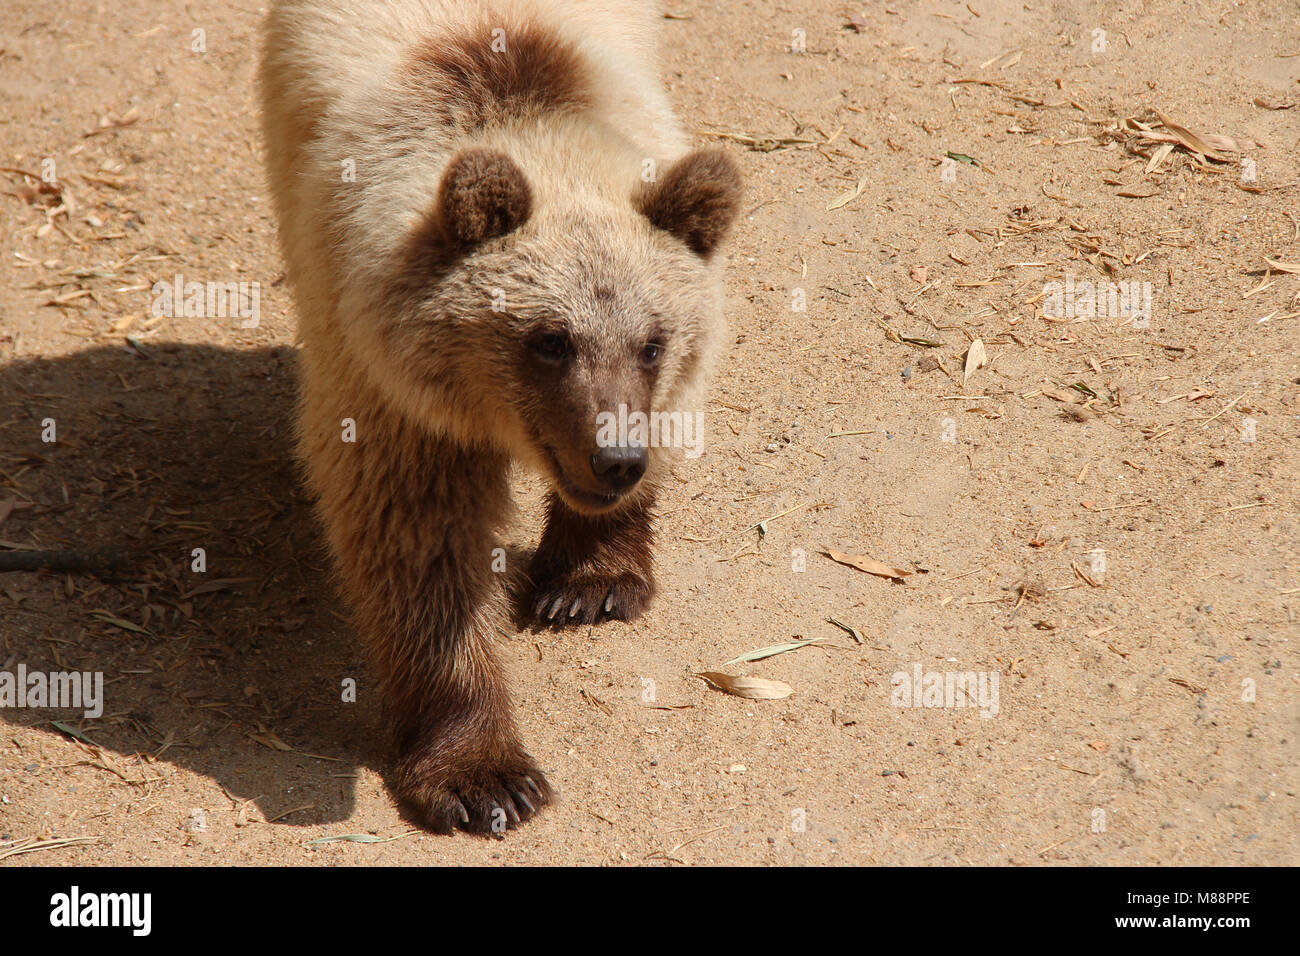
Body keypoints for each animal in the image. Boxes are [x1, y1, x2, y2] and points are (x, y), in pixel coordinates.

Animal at [259, 0, 741, 833]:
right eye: (550, 339)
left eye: (653, 343)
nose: (617, 461)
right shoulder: (391, 393)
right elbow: (423, 553)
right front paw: (484, 777)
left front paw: (589, 582)